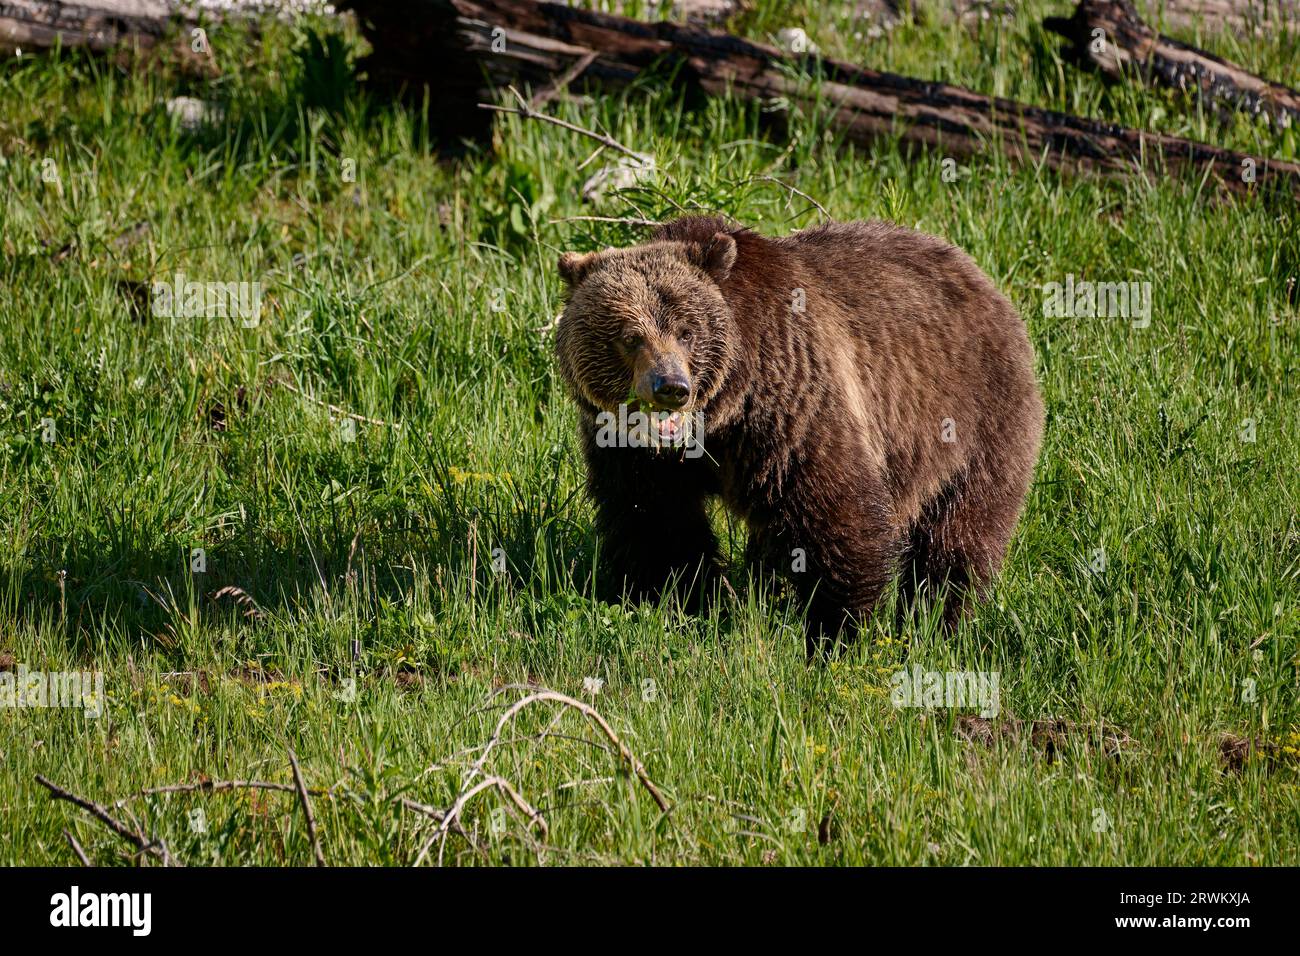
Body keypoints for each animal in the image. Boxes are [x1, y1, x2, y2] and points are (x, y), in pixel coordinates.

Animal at [554, 215, 1044, 654]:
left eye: (687, 331)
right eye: (629, 336)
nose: (671, 387)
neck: (717, 419)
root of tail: (979, 275)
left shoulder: (788, 408)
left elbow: (835, 516)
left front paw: (835, 633)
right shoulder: (628, 451)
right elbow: (656, 525)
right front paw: (687, 604)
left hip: (976, 417)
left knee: (959, 532)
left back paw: (936, 621)